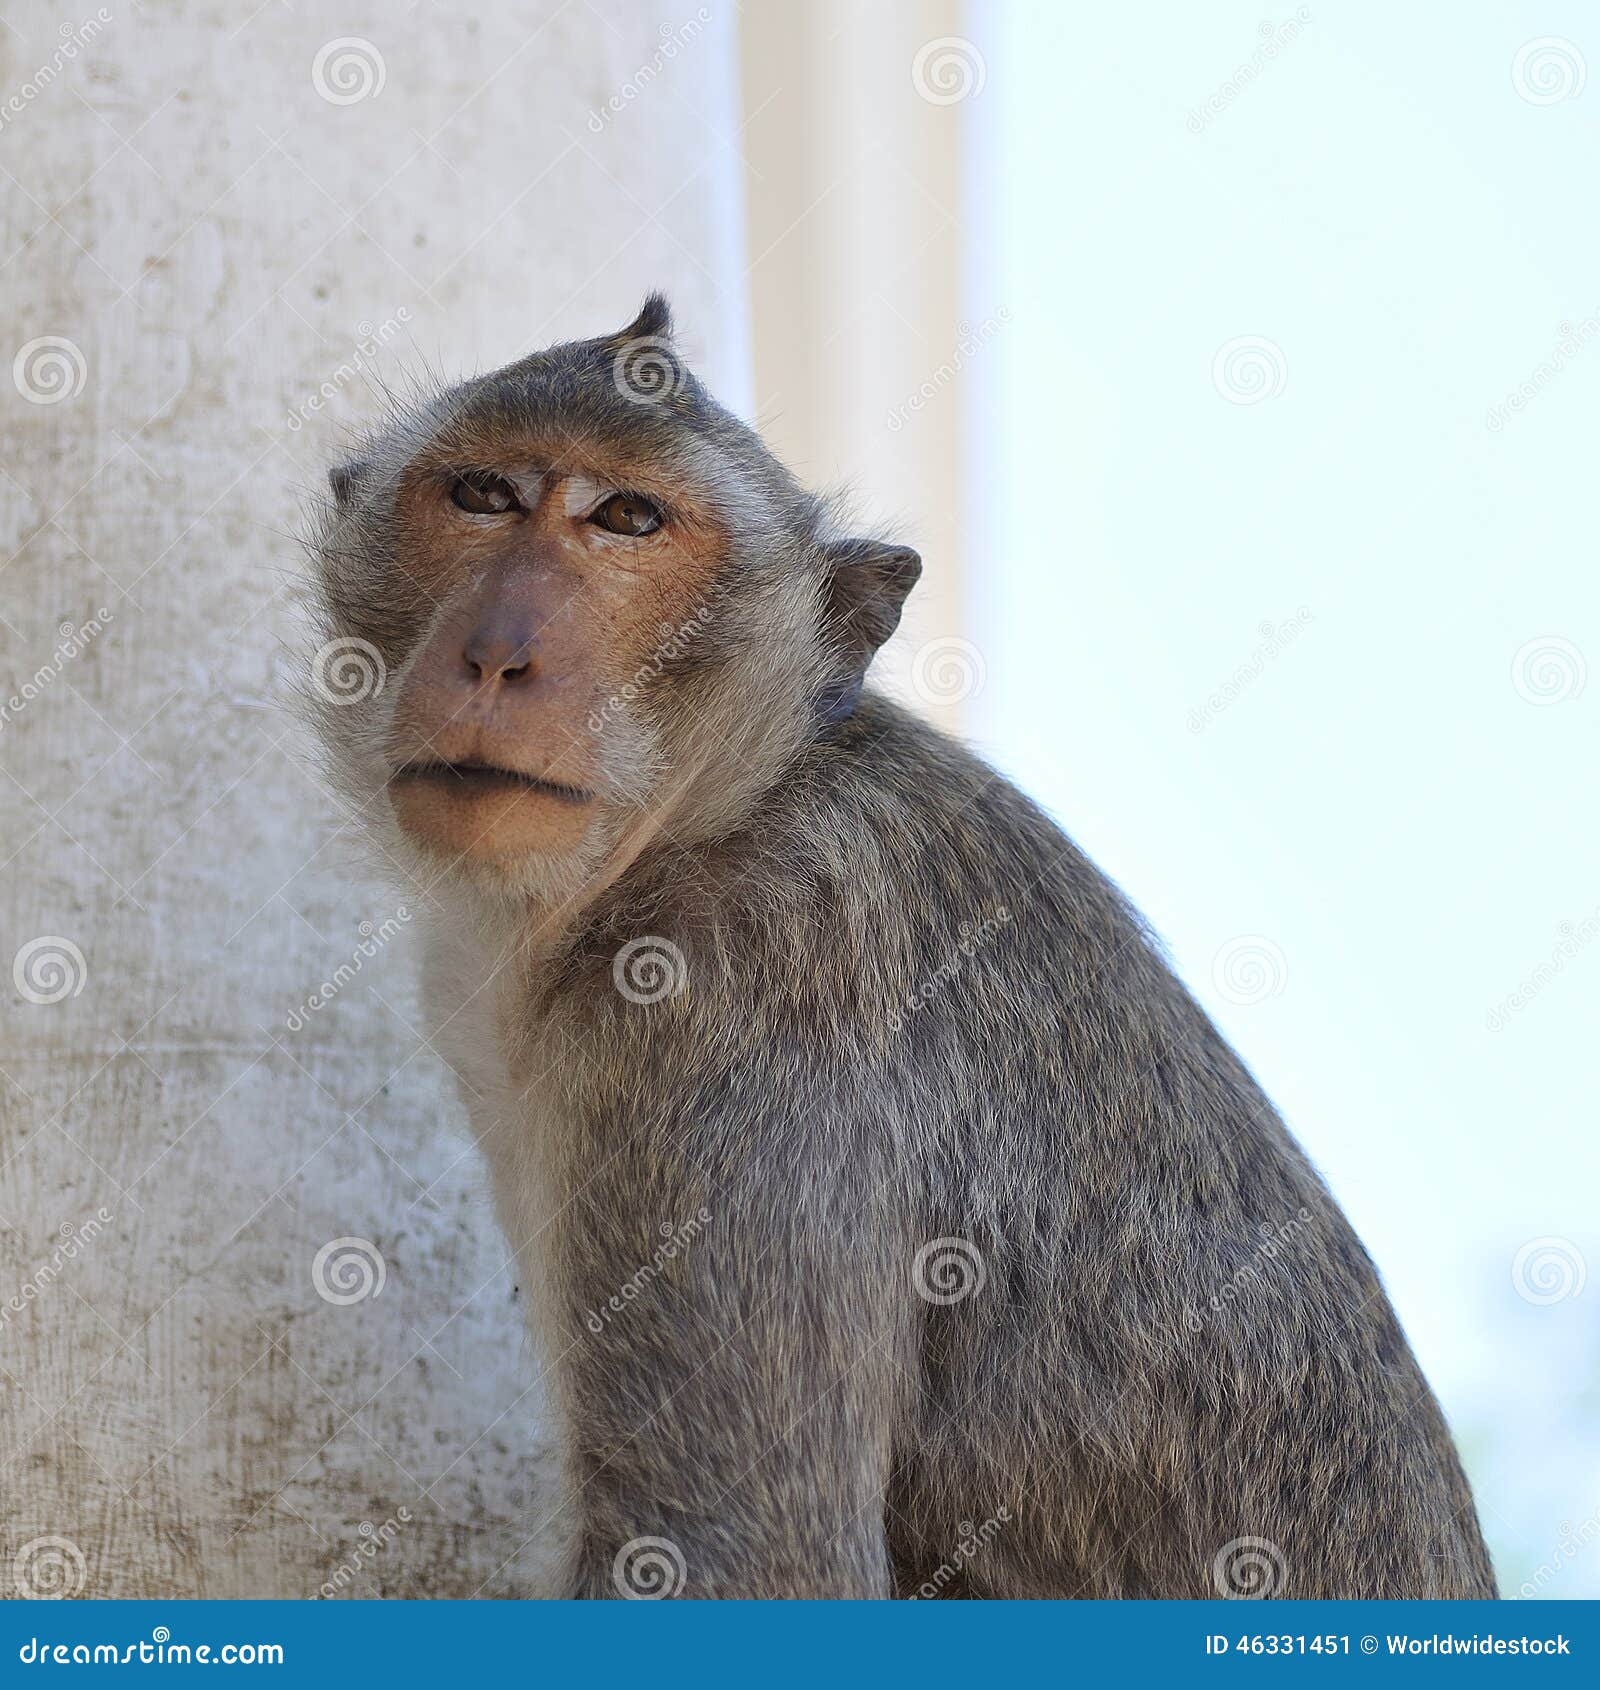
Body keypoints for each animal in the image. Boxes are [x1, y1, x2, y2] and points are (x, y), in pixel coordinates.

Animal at [306, 295, 1497, 1600]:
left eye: (626, 518)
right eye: (482, 494)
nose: (497, 653)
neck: (720, 808)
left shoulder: (740, 983)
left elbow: (730, 1557)